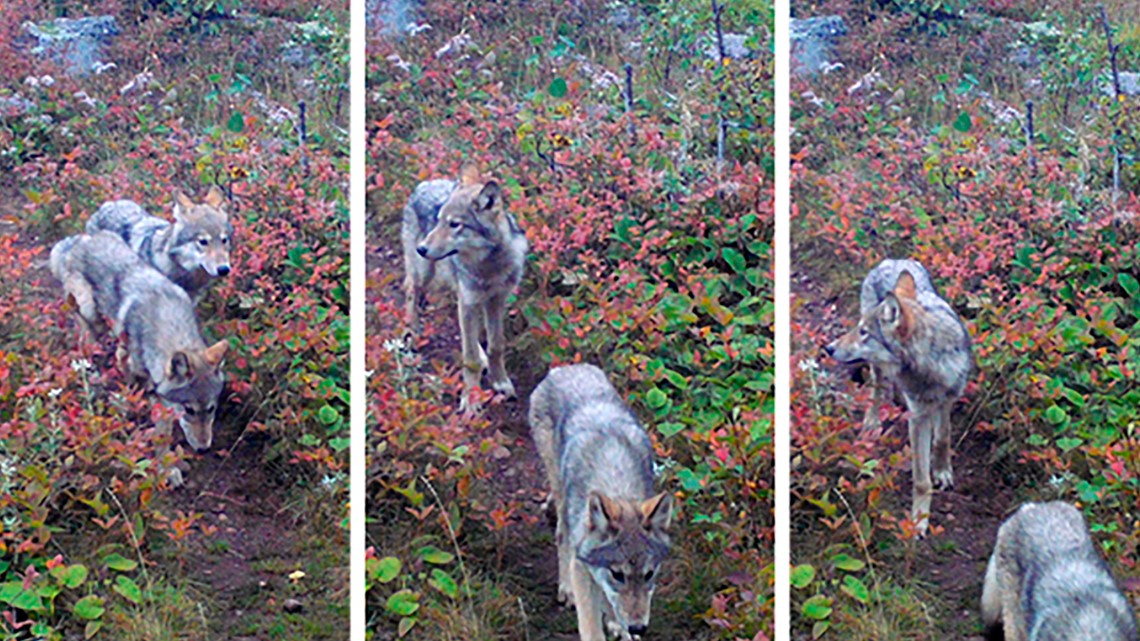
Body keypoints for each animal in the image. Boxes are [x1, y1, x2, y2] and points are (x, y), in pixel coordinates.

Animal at [51, 231, 228, 478]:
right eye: (189, 410)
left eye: (211, 409)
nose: (203, 449)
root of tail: (78, 239)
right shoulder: (126, 358)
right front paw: (166, 468)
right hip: (89, 311)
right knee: (86, 338)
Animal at [402, 163, 528, 413]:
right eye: (439, 221)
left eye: (454, 224)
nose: (422, 248)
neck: (490, 266)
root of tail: (425, 183)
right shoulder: (470, 300)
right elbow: (470, 359)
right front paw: (471, 400)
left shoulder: (495, 300)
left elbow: (496, 346)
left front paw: (501, 382)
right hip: (424, 274)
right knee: (411, 291)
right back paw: (413, 334)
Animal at [529, 364, 672, 640]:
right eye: (618, 574)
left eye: (649, 574)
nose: (638, 627)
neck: (616, 481)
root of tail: (564, 368)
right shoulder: (582, 566)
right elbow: (591, 625)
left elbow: (611, 601)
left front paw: (620, 626)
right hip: (560, 489)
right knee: (561, 534)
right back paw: (566, 589)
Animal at [824, 258, 971, 536]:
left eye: (864, 332)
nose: (828, 348)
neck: (930, 366)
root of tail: (891, 261)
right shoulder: (919, 418)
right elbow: (921, 481)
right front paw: (918, 521)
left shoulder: (947, 399)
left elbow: (943, 438)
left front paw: (942, 471)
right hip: (876, 368)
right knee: (877, 388)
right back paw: (872, 421)